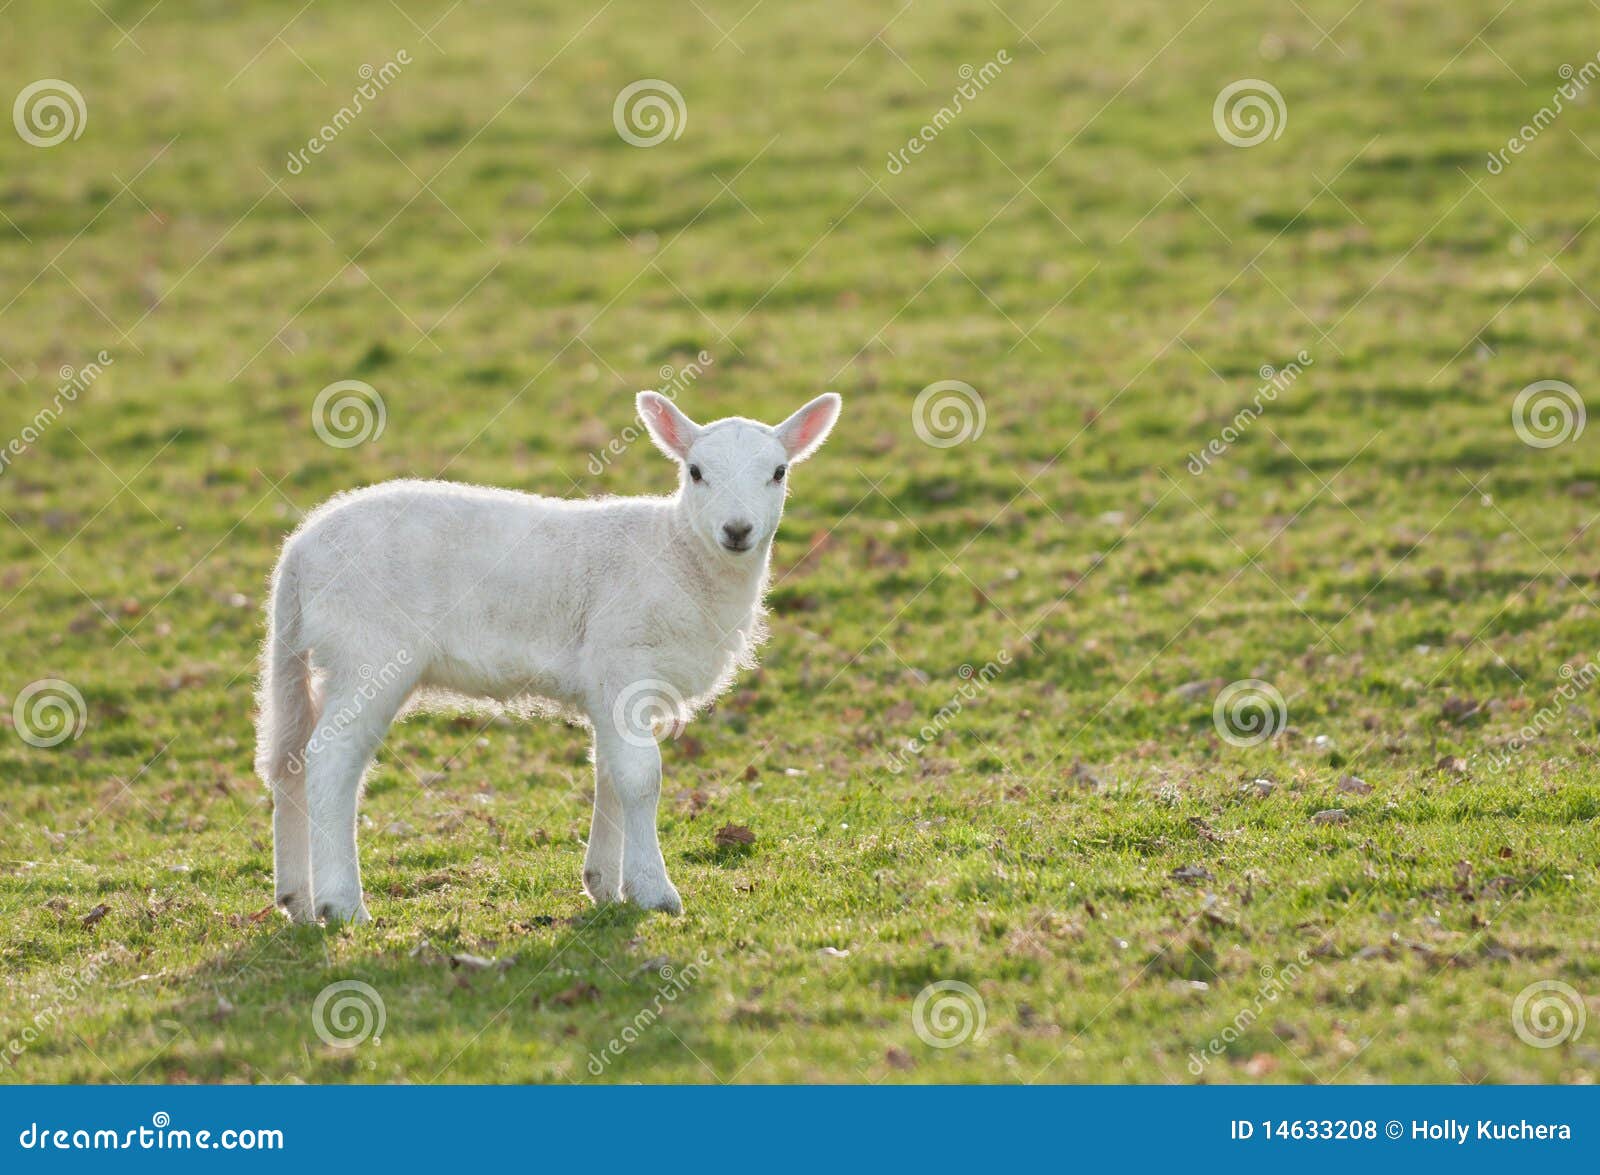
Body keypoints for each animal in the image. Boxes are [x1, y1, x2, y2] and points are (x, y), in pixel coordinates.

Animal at [254, 391, 842, 924]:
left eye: (779, 472)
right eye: (695, 472)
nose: (737, 531)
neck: (679, 552)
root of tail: (299, 549)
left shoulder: (610, 684)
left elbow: (610, 772)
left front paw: (605, 885)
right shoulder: (624, 660)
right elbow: (641, 777)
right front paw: (654, 892)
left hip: (321, 657)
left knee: (289, 760)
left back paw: (296, 902)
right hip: (370, 653)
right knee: (329, 761)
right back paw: (342, 905)